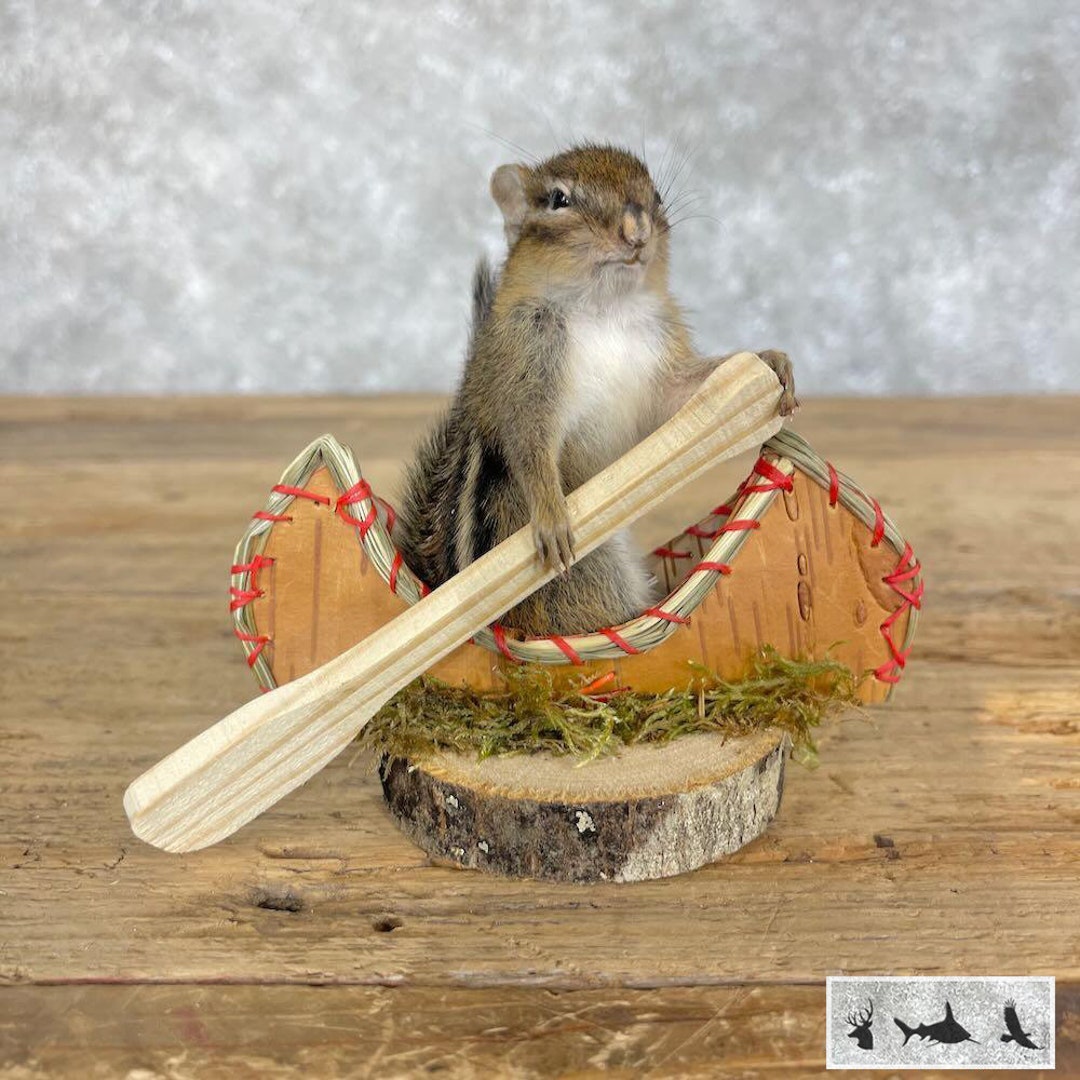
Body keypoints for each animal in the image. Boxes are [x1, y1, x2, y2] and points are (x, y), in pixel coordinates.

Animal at [395, 143, 797, 637]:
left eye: (656, 195)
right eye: (558, 200)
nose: (636, 230)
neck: (605, 309)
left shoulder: (661, 368)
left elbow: (684, 396)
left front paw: (769, 359)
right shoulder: (526, 363)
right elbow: (527, 440)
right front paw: (550, 514)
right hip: (593, 573)